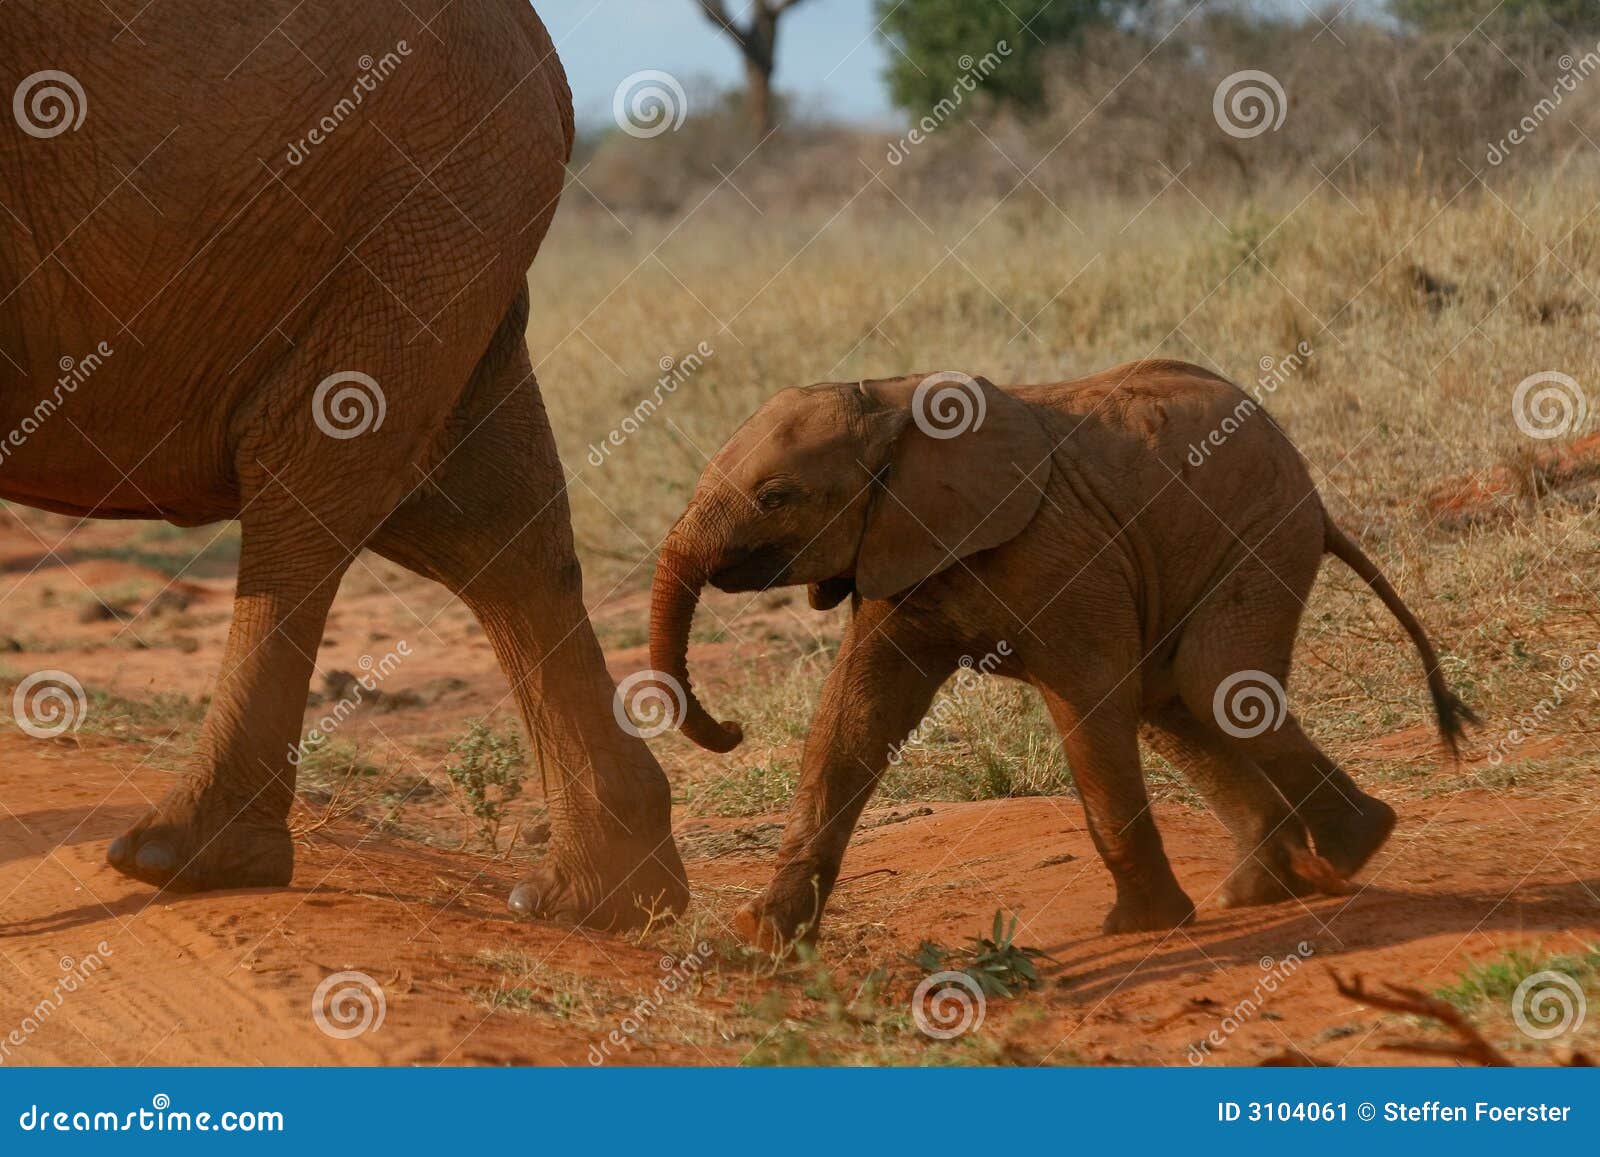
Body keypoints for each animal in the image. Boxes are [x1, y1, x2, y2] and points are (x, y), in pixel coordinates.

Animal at [0, 3, 687, 928]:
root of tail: (548, 63)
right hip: (435, 221)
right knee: (488, 517)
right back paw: (610, 897)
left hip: (411, 209)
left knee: (317, 473)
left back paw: (181, 857)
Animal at [648, 361, 1475, 948]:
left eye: (775, 497)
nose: (731, 729)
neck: (891, 396)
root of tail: (1319, 500)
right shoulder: (898, 551)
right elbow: (855, 716)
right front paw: (759, 939)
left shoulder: (1061, 554)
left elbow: (1089, 699)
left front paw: (1137, 928)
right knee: (1175, 704)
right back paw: (1266, 889)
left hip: (1261, 530)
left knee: (1212, 685)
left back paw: (1354, 849)